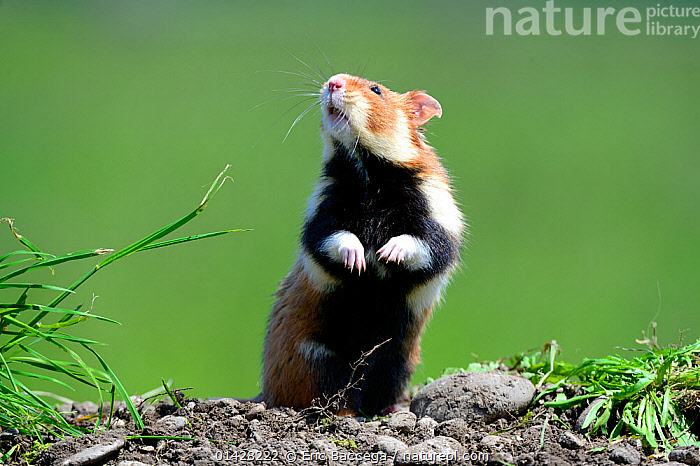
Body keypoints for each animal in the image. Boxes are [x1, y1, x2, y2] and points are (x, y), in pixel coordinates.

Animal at [262, 73, 464, 416]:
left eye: (376, 90)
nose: (333, 82)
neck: (368, 170)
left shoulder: (438, 223)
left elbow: (418, 242)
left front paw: (385, 254)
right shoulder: (323, 216)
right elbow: (338, 236)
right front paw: (359, 260)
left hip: (395, 359)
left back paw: (391, 411)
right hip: (318, 357)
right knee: (335, 393)